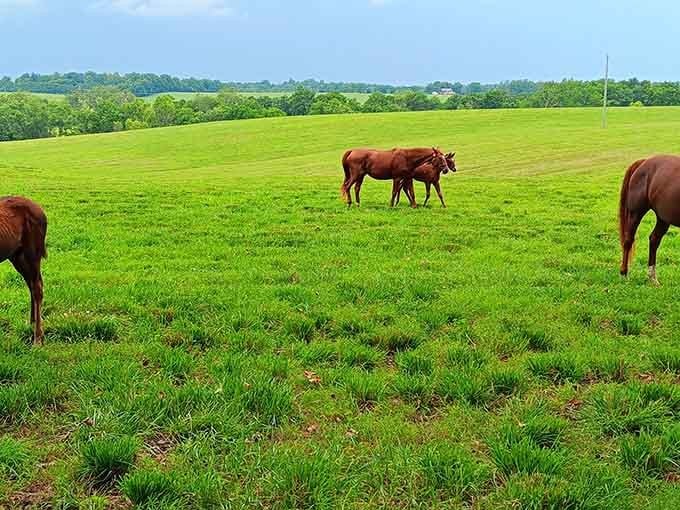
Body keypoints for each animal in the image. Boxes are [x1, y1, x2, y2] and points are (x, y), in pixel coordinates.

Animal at [0, 197, 47, 344]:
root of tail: (40, 210)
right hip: (17, 256)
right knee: (31, 284)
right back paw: (32, 322)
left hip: (32, 253)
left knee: (37, 288)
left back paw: (38, 338)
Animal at [619, 155, 680, 284]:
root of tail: (644, 161)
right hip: (635, 213)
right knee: (628, 240)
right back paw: (624, 274)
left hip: (663, 218)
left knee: (654, 239)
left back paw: (652, 277)